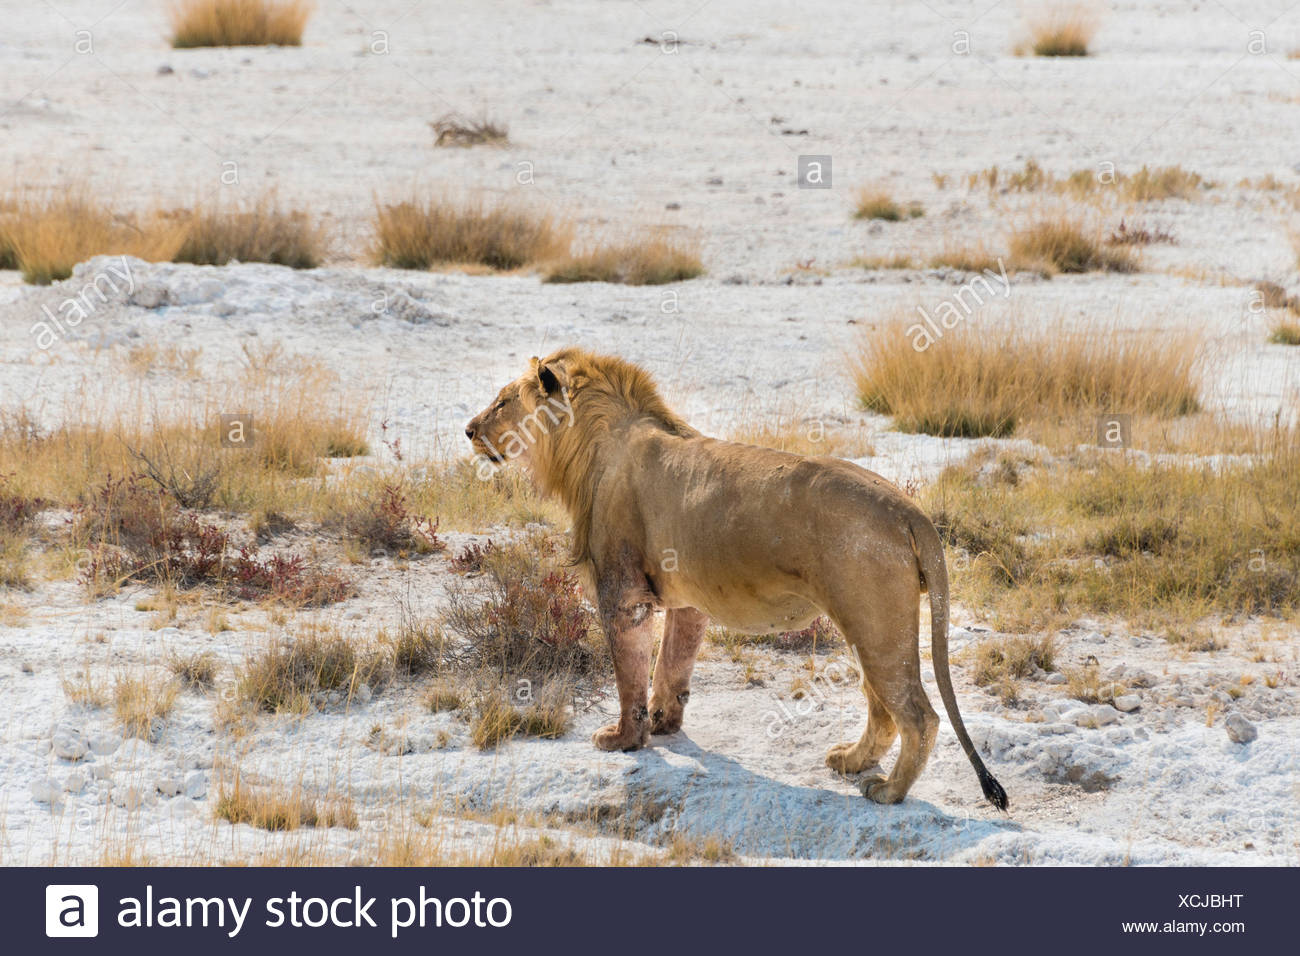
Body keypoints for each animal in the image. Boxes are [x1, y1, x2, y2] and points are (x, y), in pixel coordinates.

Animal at [465, 347, 1008, 808]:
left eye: (502, 401)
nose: (468, 430)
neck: (586, 445)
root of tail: (908, 509)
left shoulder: (622, 593)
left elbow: (630, 675)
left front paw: (624, 739)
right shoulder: (686, 598)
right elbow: (671, 666)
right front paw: (665, 723)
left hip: (875, 625)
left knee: (918, 714)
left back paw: (889, 791)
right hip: (867, 627)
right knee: (881, 708)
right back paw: (851, 762)